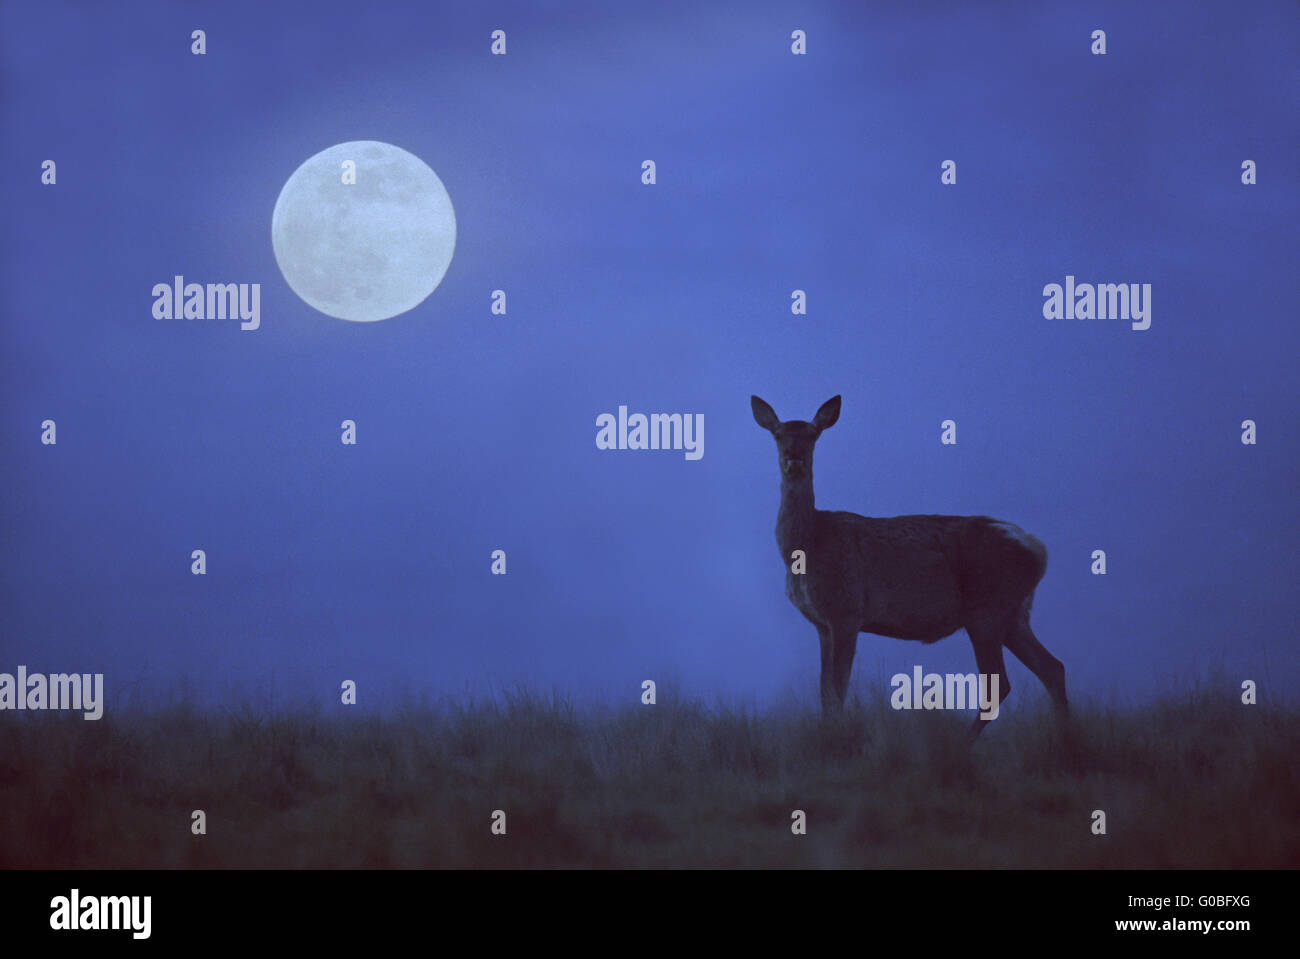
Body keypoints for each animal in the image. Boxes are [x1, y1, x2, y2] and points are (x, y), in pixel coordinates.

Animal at [751, 394, 1068, 736]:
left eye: (813, 435)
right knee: (1052, 667)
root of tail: (1037, 547)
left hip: (987, 610)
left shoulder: (846, 611)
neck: (807, 546)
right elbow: (824, 691)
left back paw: (960, 743)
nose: (794, 457)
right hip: (1015, 614)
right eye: (778, 434)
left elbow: (838, 689)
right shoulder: (822, 624)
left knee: (999, 684)